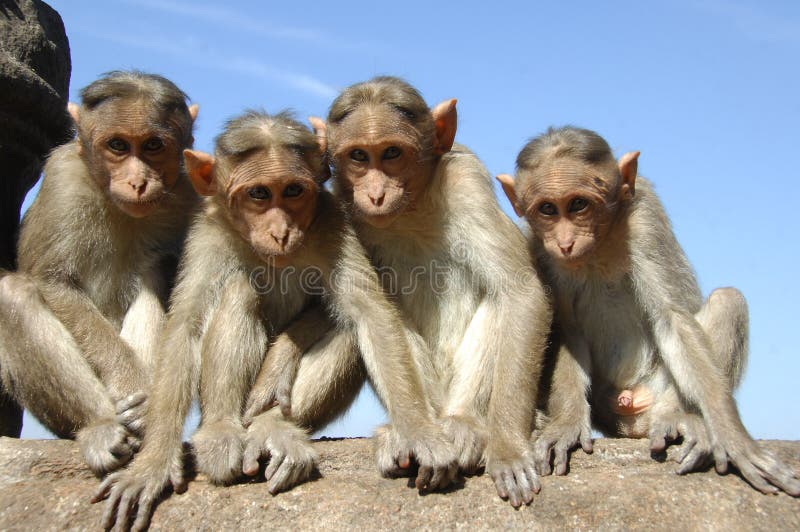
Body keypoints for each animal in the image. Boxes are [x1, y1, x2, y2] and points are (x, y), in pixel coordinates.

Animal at [0, 71, 198, 475]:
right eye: (118, 145)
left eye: (153, 145)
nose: (138, 181)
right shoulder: (62, 177)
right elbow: (52, 280)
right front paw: (129, 383)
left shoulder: (187, 192)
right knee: (13, 294)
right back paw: (102, 427)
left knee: (158, 266)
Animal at [95, 111, 460, 531]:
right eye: (259, 195)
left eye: (293, 191)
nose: (281, 231)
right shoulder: (207, 233)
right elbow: (185, 326)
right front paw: (151, 465)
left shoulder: (331, 222)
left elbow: (369, 313)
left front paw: (418, 431)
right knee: (238, 289)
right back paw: (219, 430)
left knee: (346, 329)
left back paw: (274, 430)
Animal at [250, 77, 551, 508]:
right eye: (359, 156)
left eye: (392, 153)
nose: (375, 194)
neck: (410, 208)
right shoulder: (338, 209)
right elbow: (355, 302)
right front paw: (278, 363)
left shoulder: (466, 180)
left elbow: (519, 291)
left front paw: (508, 448)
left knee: (497, 300)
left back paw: (463, 425)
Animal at [497, 126, 800, 496]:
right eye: (548, 209)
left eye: (579, 204)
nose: (566, 242)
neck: (599, 245)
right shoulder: (537, 247)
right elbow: (566, 330)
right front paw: (566, 423)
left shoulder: (646, 219)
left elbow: (673, 318)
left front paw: (734, 436)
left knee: (728, 300)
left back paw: (679, 418)